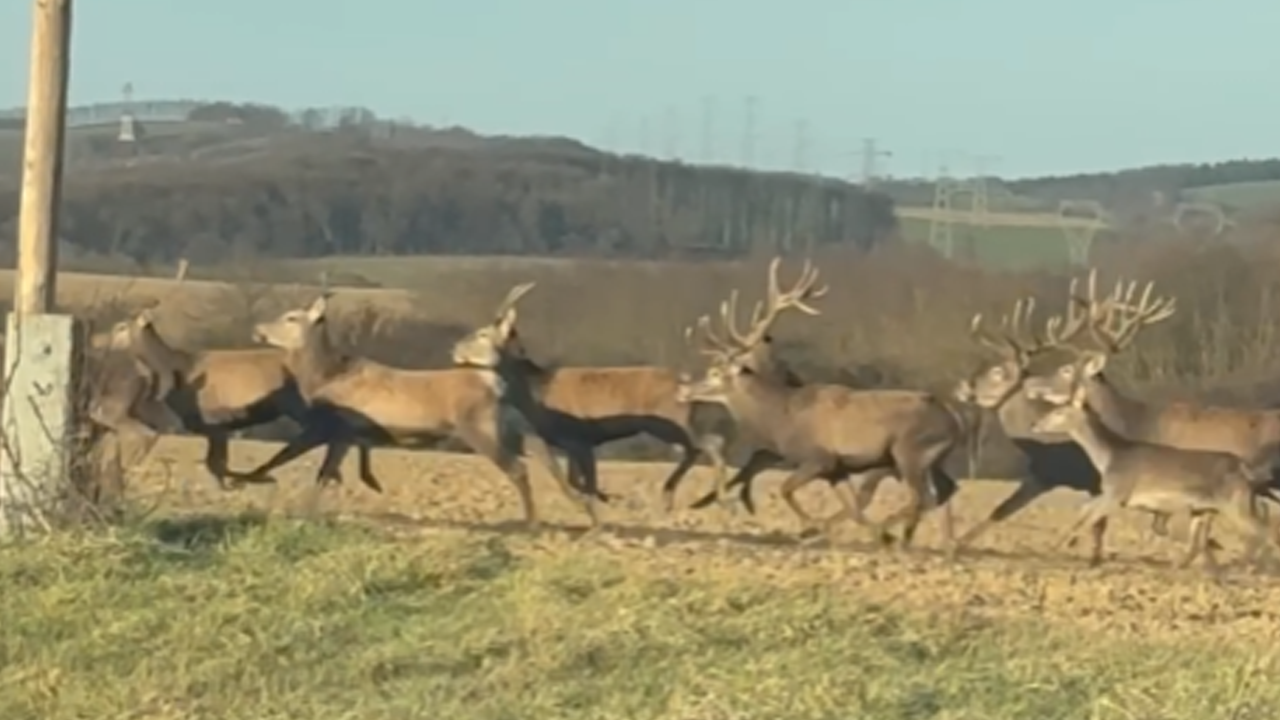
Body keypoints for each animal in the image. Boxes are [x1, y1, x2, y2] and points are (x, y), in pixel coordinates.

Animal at [103, 304, 377, 493]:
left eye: (121, 327)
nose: (105, 342)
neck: (177, 367)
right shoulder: (216, 428)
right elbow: (215, 464)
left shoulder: (215, 422)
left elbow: (216, 464)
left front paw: (250, 481)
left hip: (304, 408)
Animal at [227, 289, 602, 529]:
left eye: (291, 317)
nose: (258, 330)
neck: (321, 378)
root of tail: (494, 382)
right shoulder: (346, 435)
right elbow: (325, 474)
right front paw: (307, 511)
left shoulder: (328, 425)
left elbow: (284, 458)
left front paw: (242, 481)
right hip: (515, 424)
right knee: (547, 458)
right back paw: (587, 513)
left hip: (480, 428)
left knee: (519, 469)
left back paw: (533, 523)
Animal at [677, 257, 966, 550]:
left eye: (715, 372)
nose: (683, 390)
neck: (781, 418)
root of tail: (953, 420)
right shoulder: (837, 469)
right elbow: (853, 507)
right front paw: (854, 532)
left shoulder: (819, 458)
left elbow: (786, 489)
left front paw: (812, 527)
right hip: (933, 458)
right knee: (946, 489)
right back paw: (939, 544)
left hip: (910, 451)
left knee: (925, 496)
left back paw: (900, 536)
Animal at [1029, 383, 1280, 576]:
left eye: (1059, 412)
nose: (1035, 424)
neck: (1109, 457)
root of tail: (1244, 469)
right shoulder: (1112, 493)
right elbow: (1083, 512)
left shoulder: (1118, 493)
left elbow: (1087, 519)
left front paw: (1061, 551)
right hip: (1206, 507)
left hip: (1234, 502)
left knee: (1264, 531)